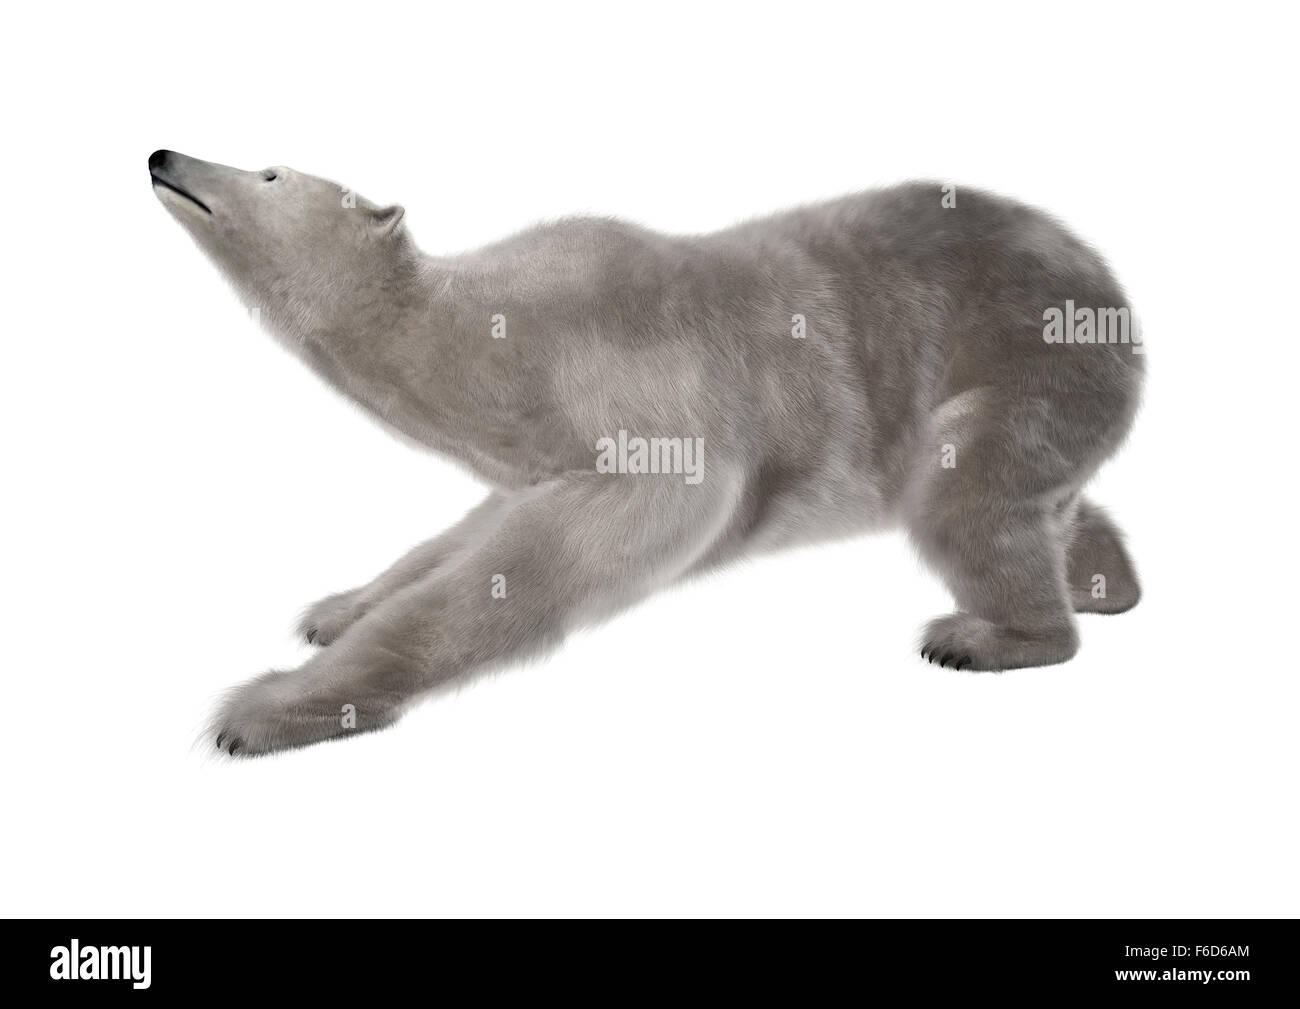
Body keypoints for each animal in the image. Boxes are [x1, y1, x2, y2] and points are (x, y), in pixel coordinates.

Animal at [148, 149, 1143, 757]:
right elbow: (471, 528)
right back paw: (1104, 581)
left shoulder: (637, 401)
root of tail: (1112, 289)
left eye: (269, 168)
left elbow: (534, 564)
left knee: (964, 490)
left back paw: (987, 635)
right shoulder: (533, 443)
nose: (165, 156)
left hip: (1028, 354)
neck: (495, 334)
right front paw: (335, 607)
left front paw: (264, 708)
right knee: (1035, 494)